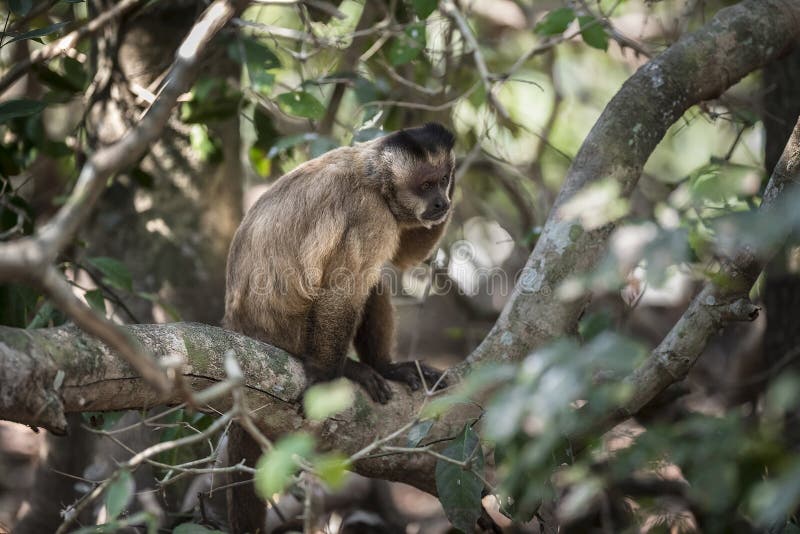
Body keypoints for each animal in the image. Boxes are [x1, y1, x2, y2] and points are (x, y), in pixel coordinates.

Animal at [223, 122, 455, 402]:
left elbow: (405, 256)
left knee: (372, 284)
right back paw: (352, 369)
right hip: (291, 336)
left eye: (443, 180)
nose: (442, 202)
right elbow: (340, 291)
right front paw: (324, 376)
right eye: (426, 185)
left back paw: (385, 367)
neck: (375, 181)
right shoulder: (369, 213)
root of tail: (236, 325)